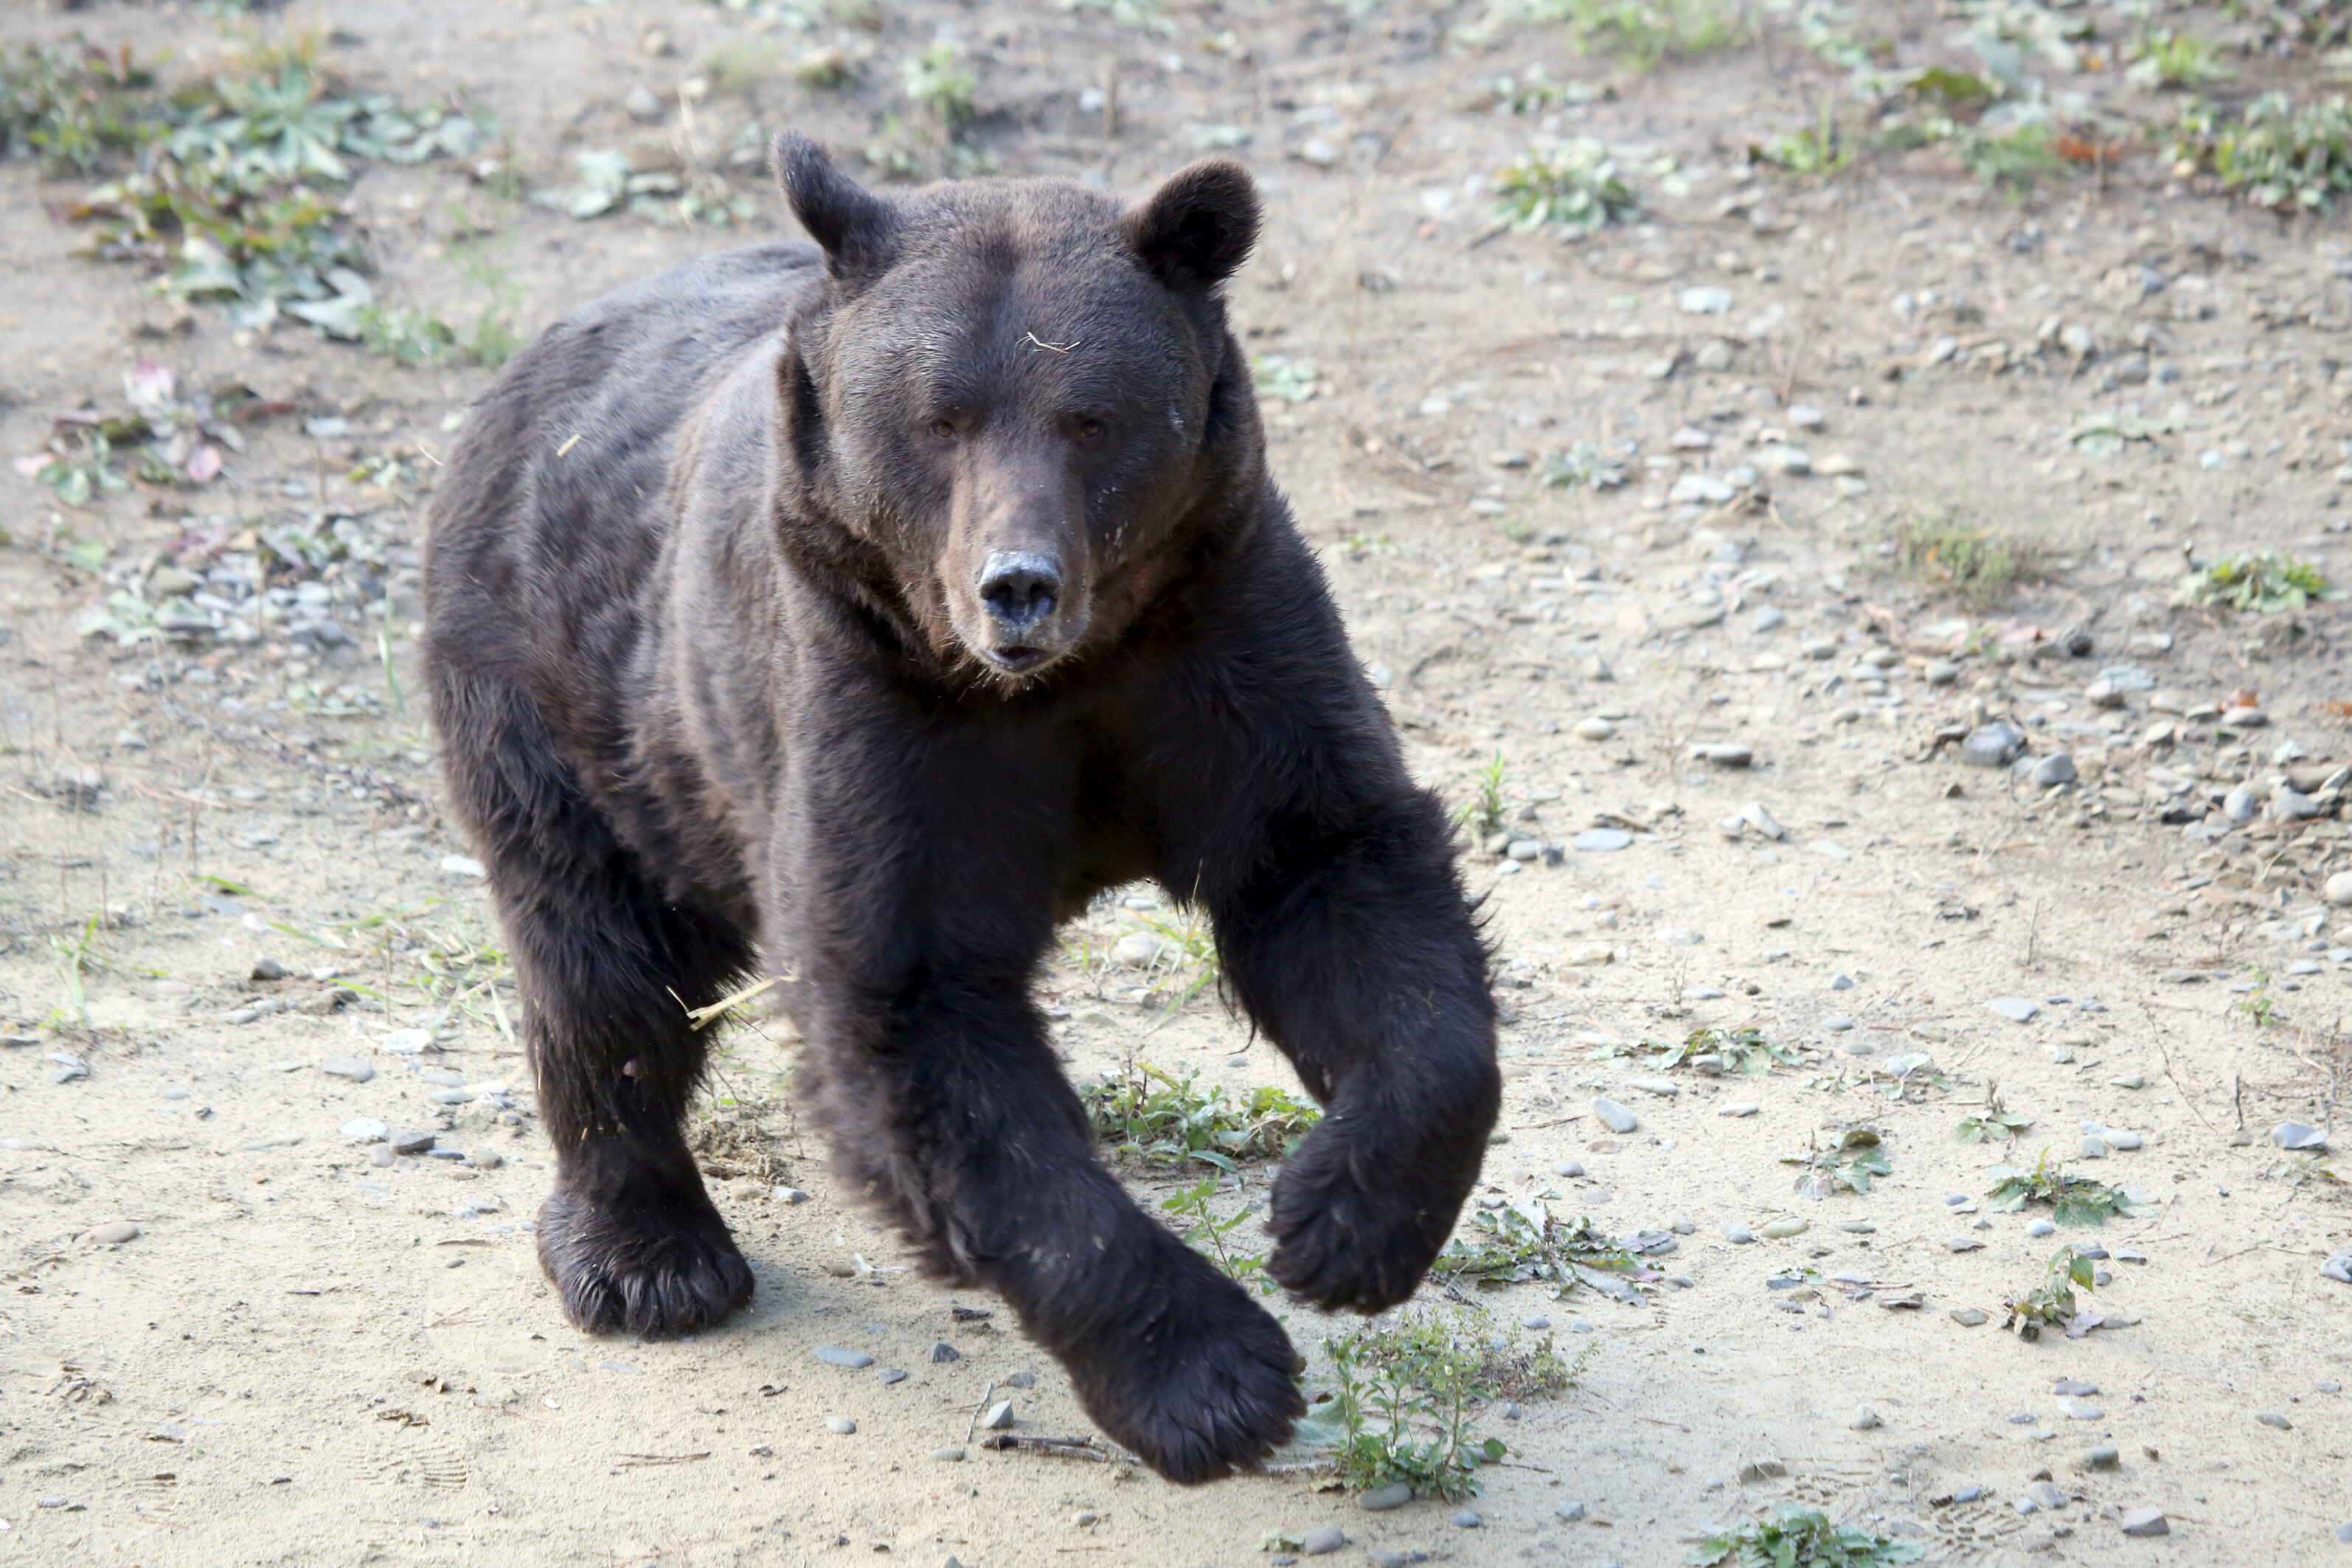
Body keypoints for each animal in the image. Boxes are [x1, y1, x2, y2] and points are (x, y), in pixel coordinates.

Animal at [421, 133, 1499, 1484]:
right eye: (937, 419)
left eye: (1091, 415)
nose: (1016, 586)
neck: (1062, 678)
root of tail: (528, 362)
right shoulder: (873, 698)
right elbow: (914, 1010)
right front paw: (1215, 1380)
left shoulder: (1225, 644)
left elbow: (1338, 877)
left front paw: (1340, 1227)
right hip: (571, 712)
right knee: (603, 971)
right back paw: (649, 1259)